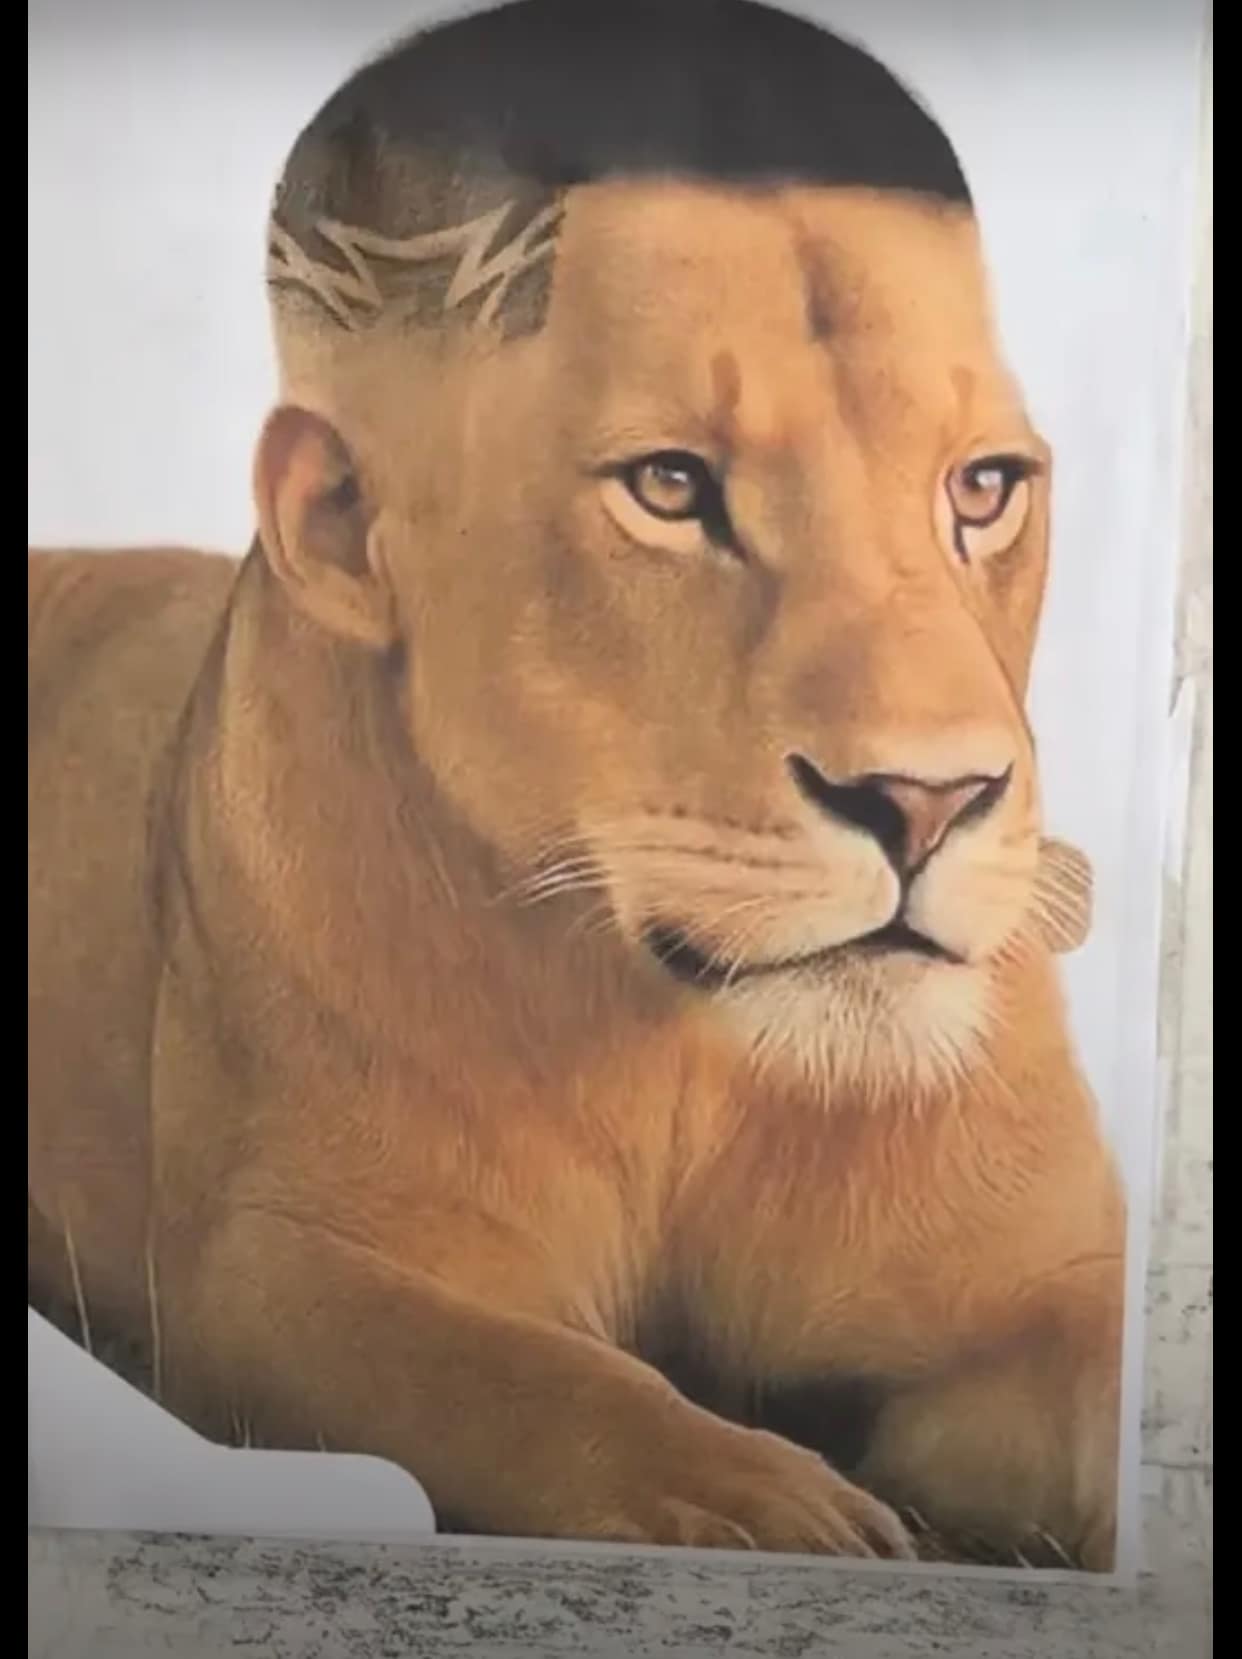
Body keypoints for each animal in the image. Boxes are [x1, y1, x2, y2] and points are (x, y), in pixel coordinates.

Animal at [28, 0, 1124, 1568]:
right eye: (668, 487)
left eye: (982, 489)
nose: (927, 802)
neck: (686, 1056)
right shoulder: (278, 1261)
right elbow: (527, 1381)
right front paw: (780, 1512)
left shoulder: (1051, 1268)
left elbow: (1066, 1410)